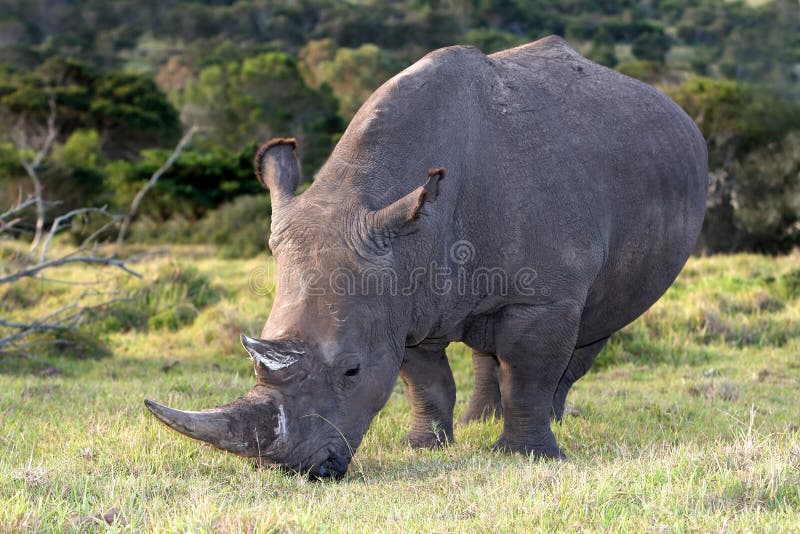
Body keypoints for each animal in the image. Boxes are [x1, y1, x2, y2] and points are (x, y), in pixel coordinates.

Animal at [145, 36, 707, 478]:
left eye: (351, 371)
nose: (301, 471)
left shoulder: (542, 296)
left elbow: (528, 372)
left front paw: (527, 457)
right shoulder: (401, 294)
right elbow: (426, 380)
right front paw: (426, 447)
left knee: (592, 328)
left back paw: (549, 418)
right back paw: (482, 422)